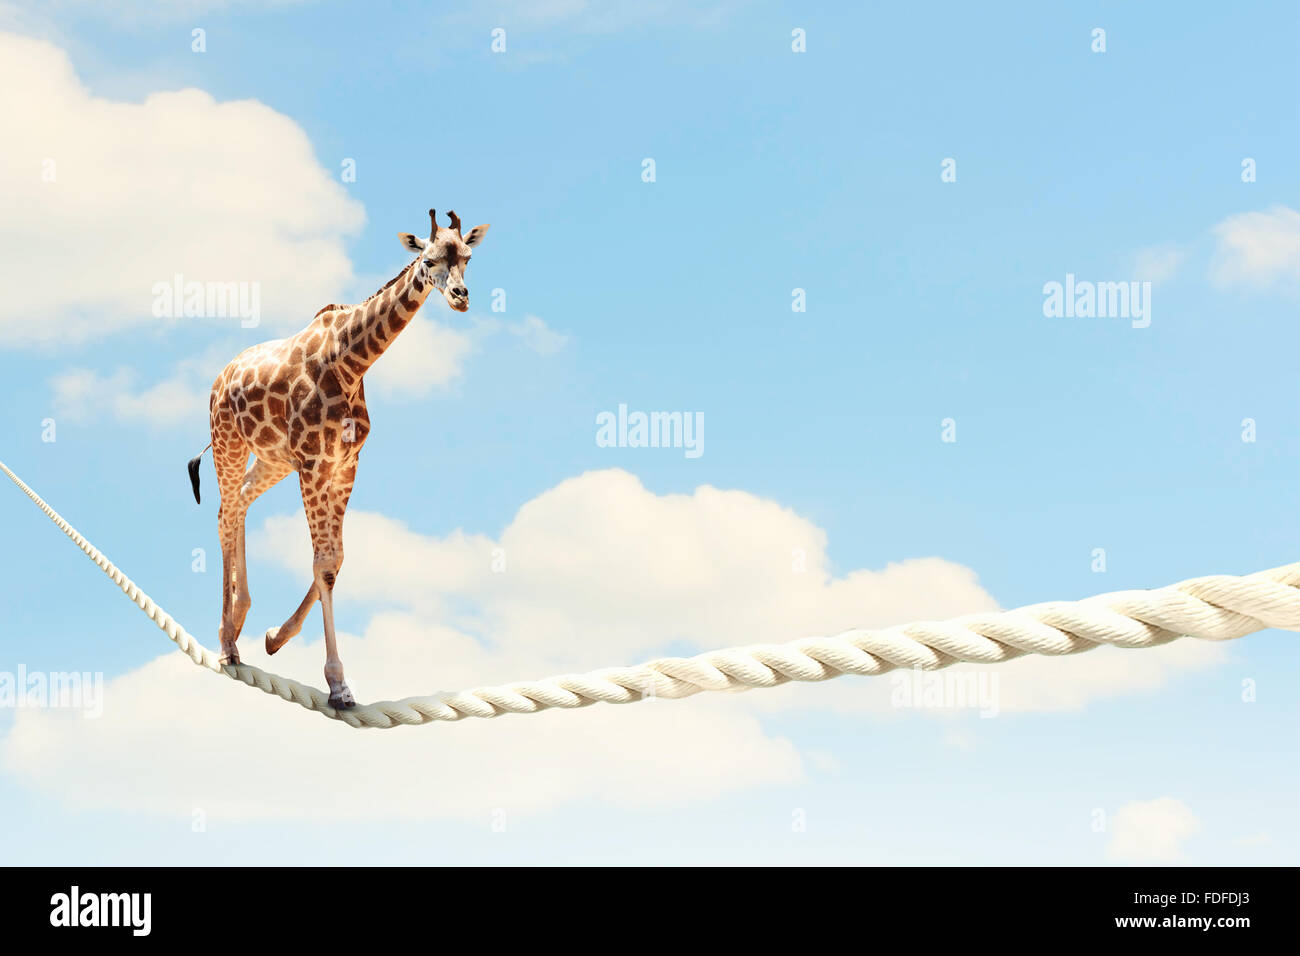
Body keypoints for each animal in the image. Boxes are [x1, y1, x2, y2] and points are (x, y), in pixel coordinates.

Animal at [186, 209, 489, 708]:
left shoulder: (345, 463)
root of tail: (219, 378)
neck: (352, 363)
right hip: (229, 442)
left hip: (273, 460)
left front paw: (276, 636)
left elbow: (335, 560)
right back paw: (227, 641)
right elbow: (323, 563)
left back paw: (243, 619)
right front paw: (338, 684)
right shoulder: (312, 461)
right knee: (225, 511)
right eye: (428, 260)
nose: (461, 297)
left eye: (467, 256)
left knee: (238, 504)